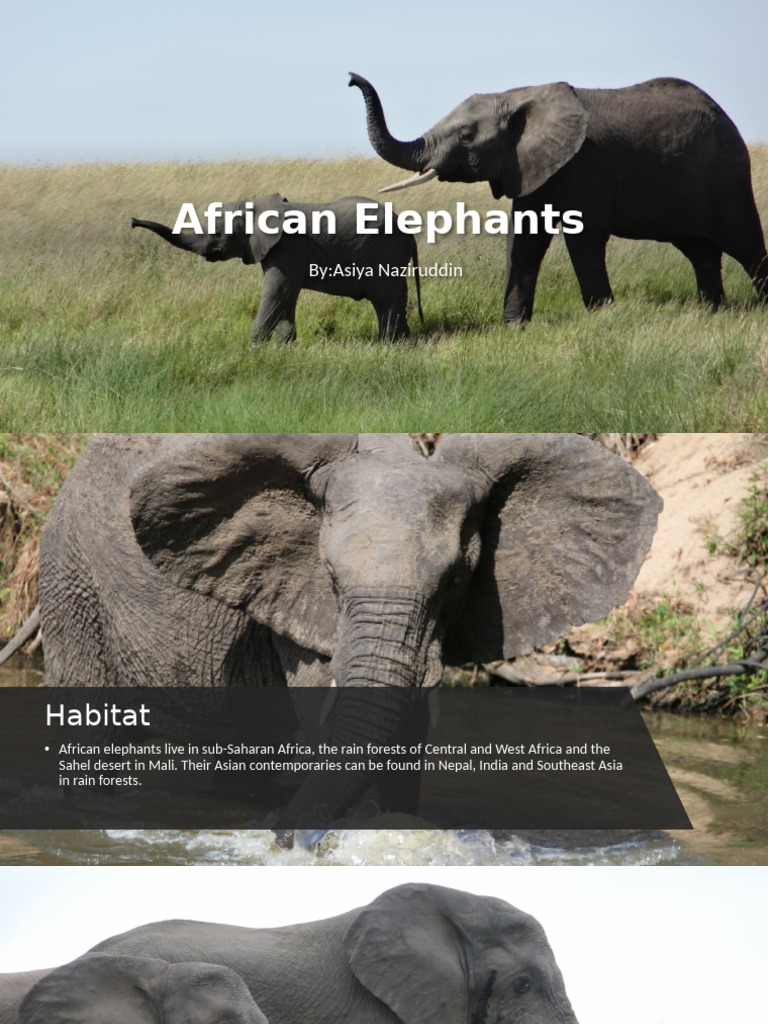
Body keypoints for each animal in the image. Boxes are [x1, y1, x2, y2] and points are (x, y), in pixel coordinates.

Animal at [132, 194, 422, 343]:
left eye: (216, 233)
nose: (133, 221)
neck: (255, 206)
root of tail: (409, 232)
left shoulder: (286, 249)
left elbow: (276, 294)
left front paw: (252, 351)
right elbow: (286, 298)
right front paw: (285, 348)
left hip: (386, 253)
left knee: (385, 301)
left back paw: (388, 344)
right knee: (398, 297)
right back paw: (404, 343)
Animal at [349, 73, 768, 325]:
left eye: (467, 137)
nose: (352, 78)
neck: (519, 96)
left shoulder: (585, 165)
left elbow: (583, 241)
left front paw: (602, 318)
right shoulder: (528, 165)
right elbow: (523, 242)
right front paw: (514, 327)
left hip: (727, 174)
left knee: (745, 243)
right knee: (699, 250)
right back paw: (710, 312)